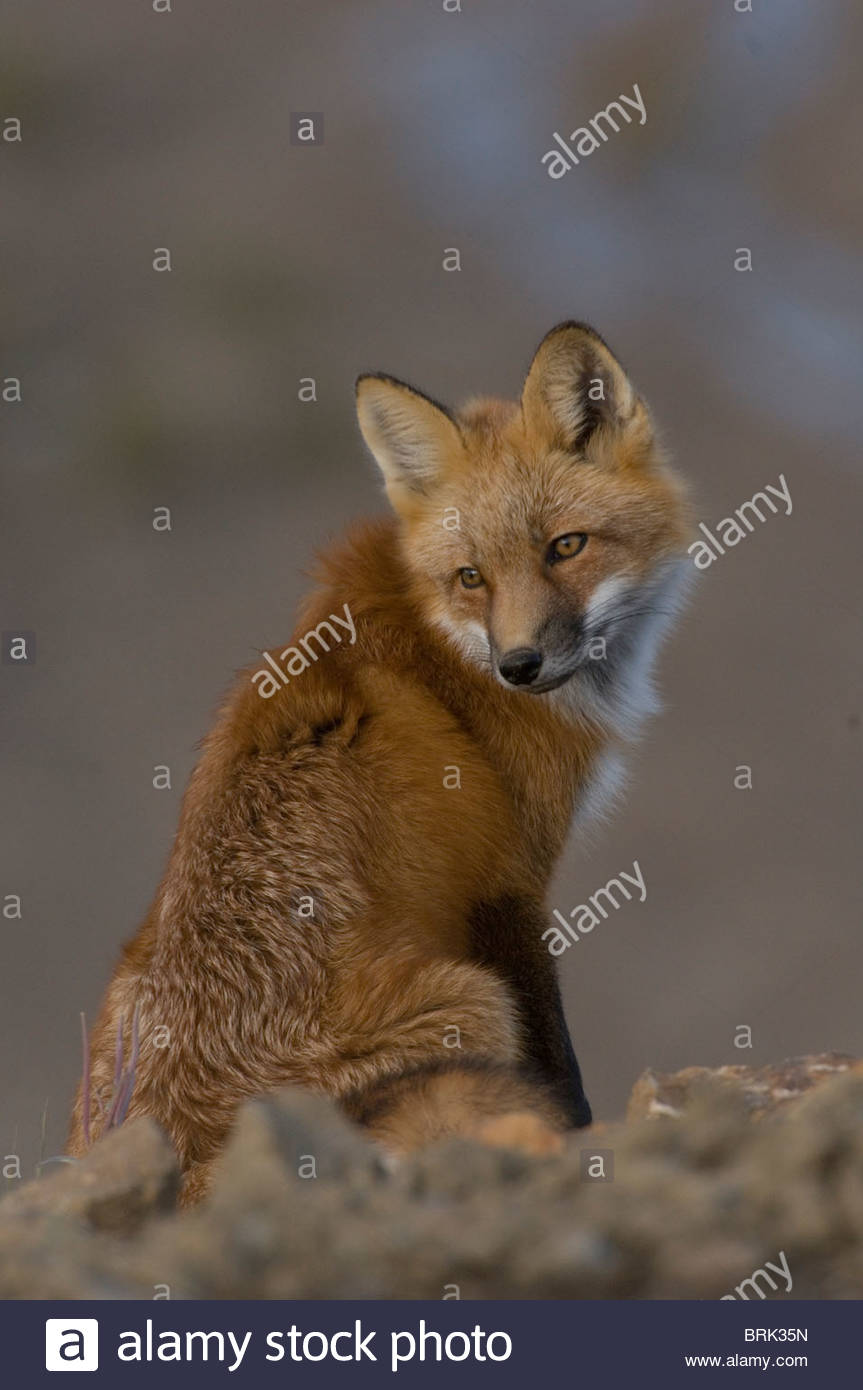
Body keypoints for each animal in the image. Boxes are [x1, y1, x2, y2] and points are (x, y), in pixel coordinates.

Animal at [67, 321, 691, 1202]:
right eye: (472, 577)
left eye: (565, 547)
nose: (520, 665)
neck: (446, 642)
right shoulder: (510, 888)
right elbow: (562, 1067)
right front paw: (581, 1137)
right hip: (466, 999)